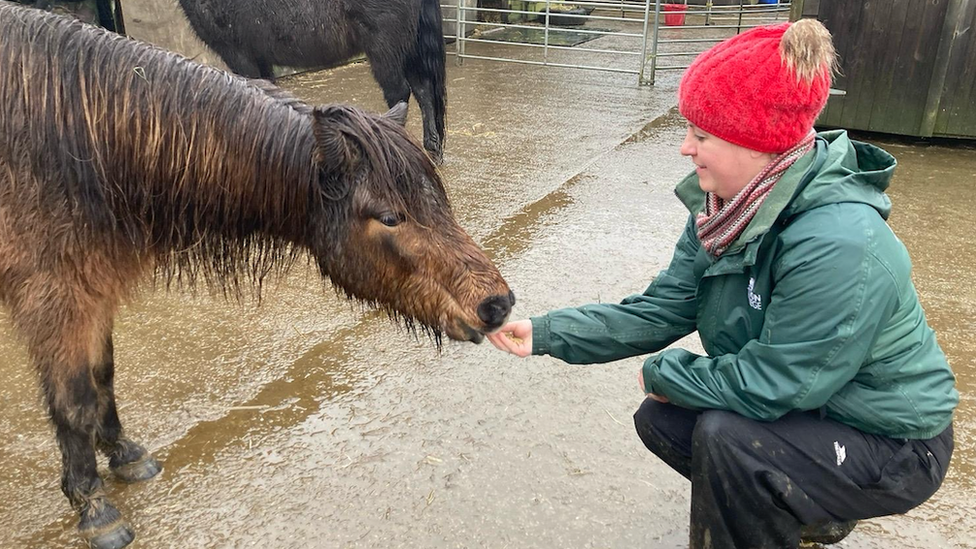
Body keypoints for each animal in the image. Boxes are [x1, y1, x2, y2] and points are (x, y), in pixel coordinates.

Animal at [176, 0, 448, 163]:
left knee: (399, 93)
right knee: (423, 90)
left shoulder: (239, 53)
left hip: (384, 49)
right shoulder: (258, 57)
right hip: (409, 47)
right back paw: (432, 150)